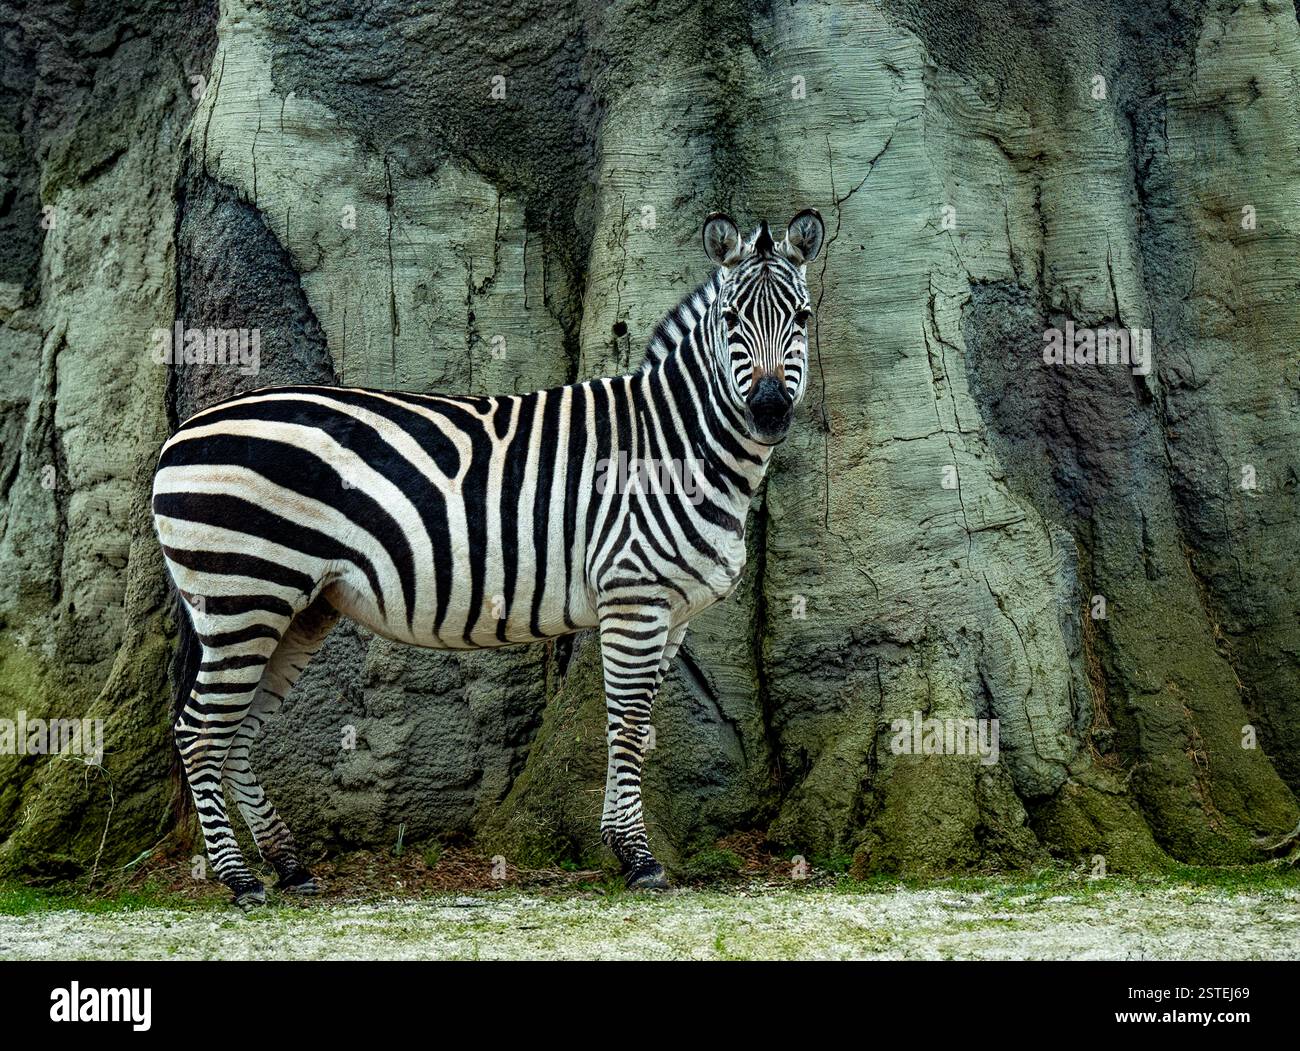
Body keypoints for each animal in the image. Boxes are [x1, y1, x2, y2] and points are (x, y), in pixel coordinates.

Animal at [152, 208, 825, 905]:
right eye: (731, 319)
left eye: (803, 317)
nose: (769, 411)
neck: (677, 445)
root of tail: (184, 431)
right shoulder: (634, 597)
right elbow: (628, 721)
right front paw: (637, 858)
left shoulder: (673, 612)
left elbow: (637, 729)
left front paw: (624, 849)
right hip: (244, 597)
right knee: (198, 732)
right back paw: (238, 879)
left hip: (296, 608)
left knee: (237, 734)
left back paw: (289, 866)